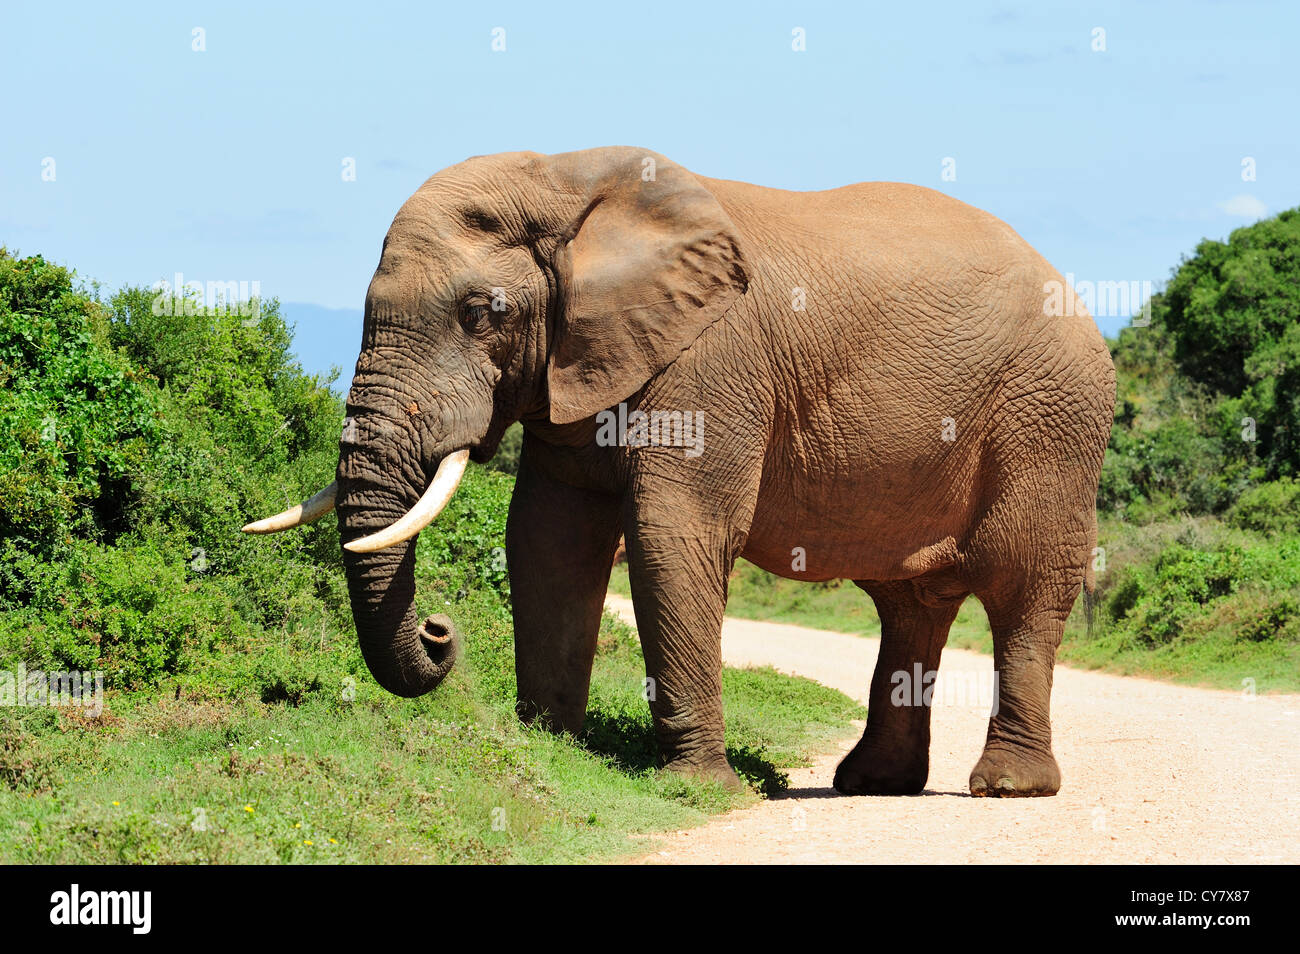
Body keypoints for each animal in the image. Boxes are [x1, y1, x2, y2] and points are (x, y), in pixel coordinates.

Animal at [244, 146, 1115, 797]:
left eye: (481, 313)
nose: (438, 629)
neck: (567, 182)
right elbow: (547, 537)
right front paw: (550, 747)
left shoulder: (711, 360)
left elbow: (675, 532)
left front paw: (698, 789)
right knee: (910, 603)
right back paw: (872, 782)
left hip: (1051, 419)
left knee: (1024, 587)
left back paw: (1009, 786)